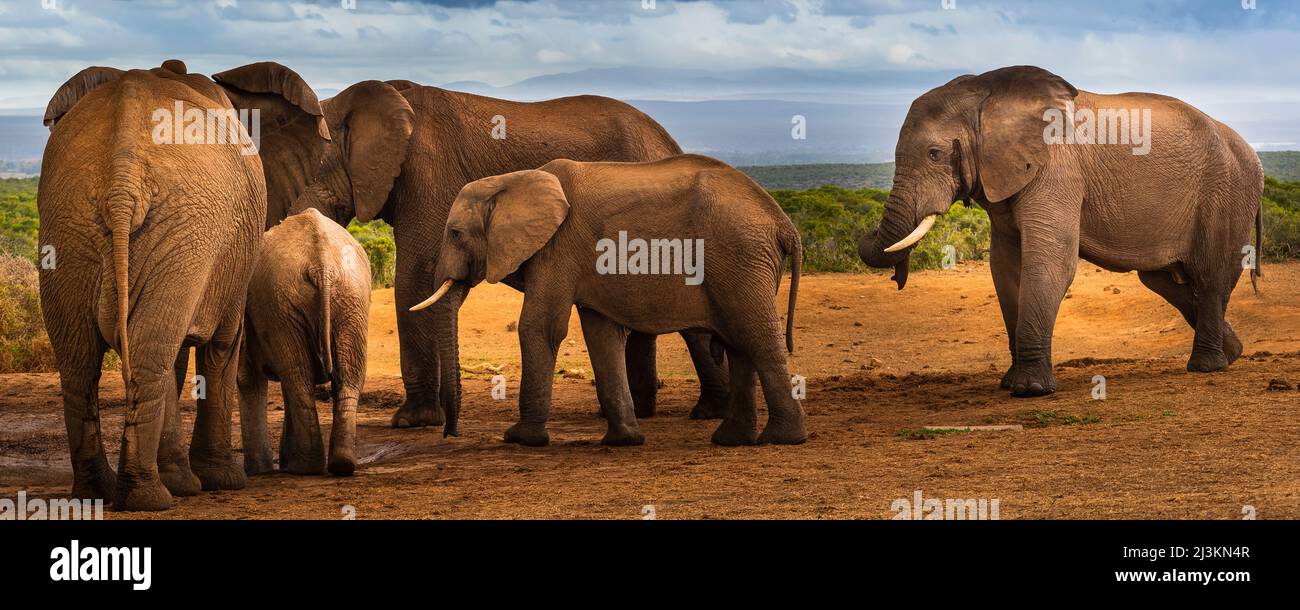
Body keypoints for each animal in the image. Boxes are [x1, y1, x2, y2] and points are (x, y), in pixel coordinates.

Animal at [38, 59, 328, 510]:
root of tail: (122, 182)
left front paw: (185, 479)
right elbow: (223, 346)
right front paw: (221, 481)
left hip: (72, 227)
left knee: (83, 361)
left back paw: (99, 492)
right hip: (180, 231)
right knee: (149, 355)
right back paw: (148, 497)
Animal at [238, 208, 371, 477]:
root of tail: (323, 265)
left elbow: (247, 379)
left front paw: (258, 470)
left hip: (282, 302)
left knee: (298, 377)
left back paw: (304, 467)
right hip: (347, 298)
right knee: (342, 376)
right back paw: (339, 465)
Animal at [285, 79, 731, 437]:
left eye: (313, 165)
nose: (452, 432)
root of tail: (667, 138)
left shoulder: (426, 172)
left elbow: (416, 275)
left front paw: (412, 421)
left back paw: (703, 411)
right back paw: (640, 411)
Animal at [408, 154, 805, 447]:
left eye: (455, 234)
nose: (451, 433)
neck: (510, 181)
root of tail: (783, 223)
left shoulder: (558, 247)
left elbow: (540, 328)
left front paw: (521, 439)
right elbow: (602, 336)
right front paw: (623, 440)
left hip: (740, 255)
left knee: (755, 337)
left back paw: (782, 439)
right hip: (743, 261)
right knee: (739, 345)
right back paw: (730, 440)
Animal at [857, 65, 1263, 397]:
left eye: (934, 154)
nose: (897, 276)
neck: (986, 92)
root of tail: (1252, 153)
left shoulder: (1056, 167)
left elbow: (1049, 262)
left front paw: (1029, 390)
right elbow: (1005, 267)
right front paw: (1010, 382)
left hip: (1227, 190)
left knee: (1210, 275)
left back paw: (1207, 366)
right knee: (1165, 282)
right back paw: (1232, 353)